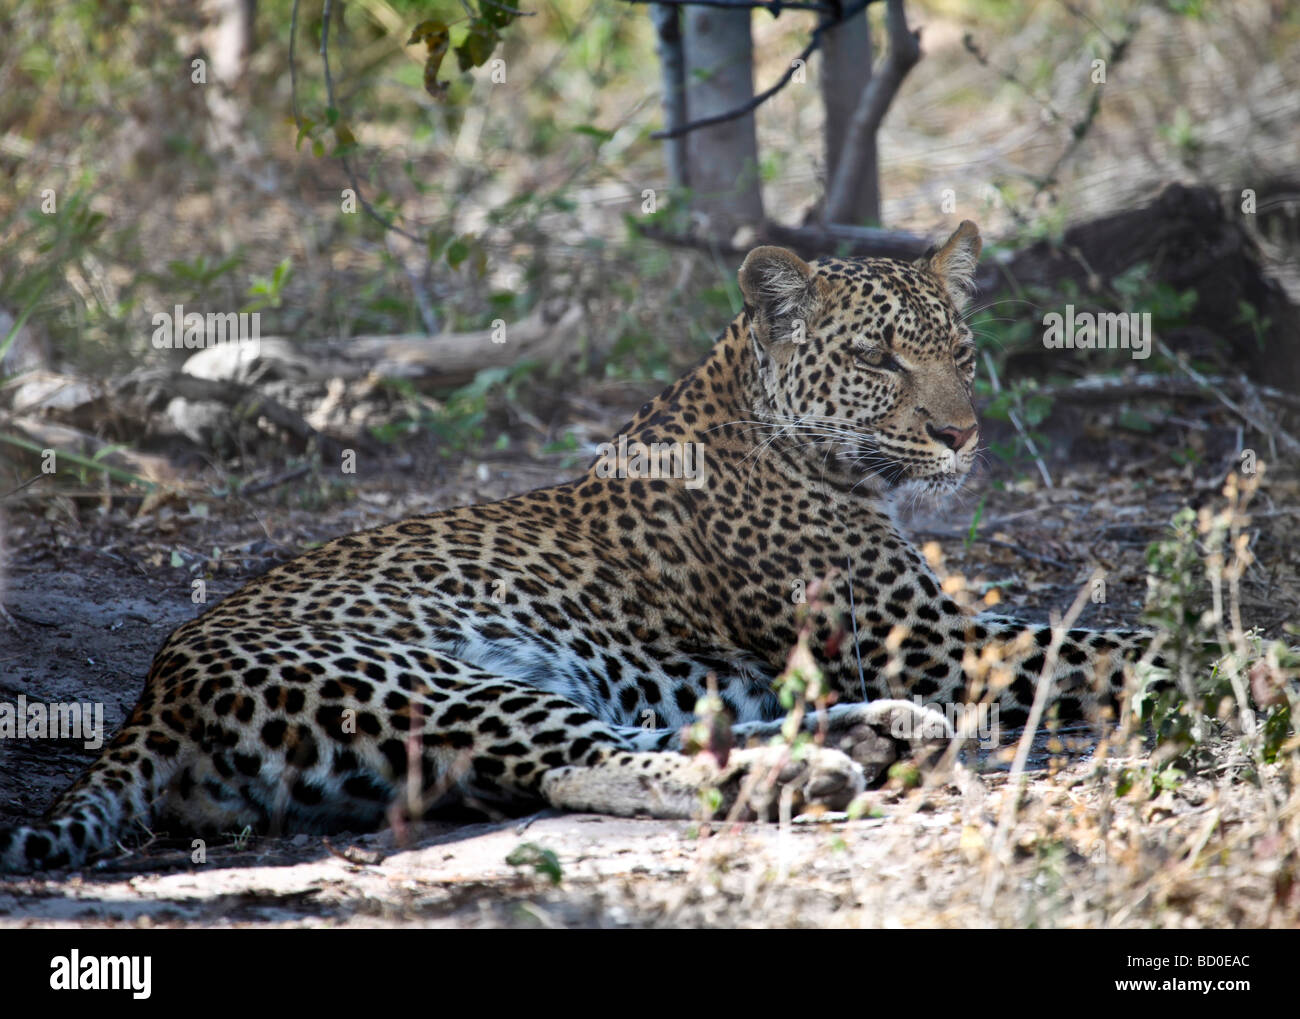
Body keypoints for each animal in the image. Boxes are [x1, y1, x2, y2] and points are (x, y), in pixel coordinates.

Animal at [0, 221, 1155, 873]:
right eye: (878, 358)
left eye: (960, 351)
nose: (963, 433)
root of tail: (155, 689)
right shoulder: (934, 640)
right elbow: (1104, 644)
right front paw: (1201, 657)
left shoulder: (932, 638)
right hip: (428, 677)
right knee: (584, 768)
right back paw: (819, 769)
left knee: (662, 738)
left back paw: (876, 736)